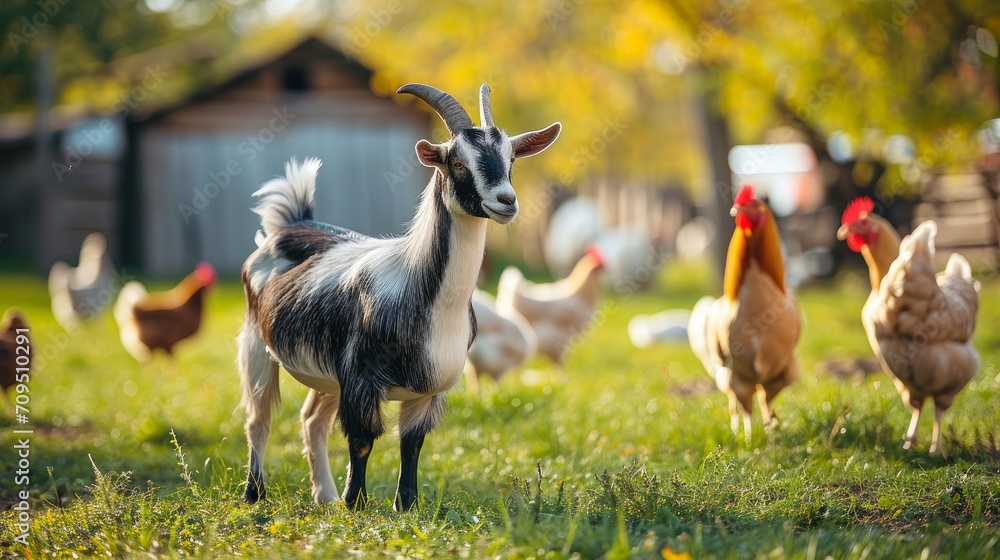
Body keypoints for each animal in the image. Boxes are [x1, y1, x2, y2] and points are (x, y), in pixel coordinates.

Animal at [237, 83, 561, 511]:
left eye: (511, 159)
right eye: (456, 162)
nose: (506, 201)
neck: (421, 291)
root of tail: (292, 223)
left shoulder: (425, 390)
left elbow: (412, 444)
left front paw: (405, 505)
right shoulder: (359, 378)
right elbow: (362, 441)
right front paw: (355, 503)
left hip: (325, 373)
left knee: (311, 420)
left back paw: (323, 497)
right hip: (256, 346)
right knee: (258, 420)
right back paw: (254, 494)